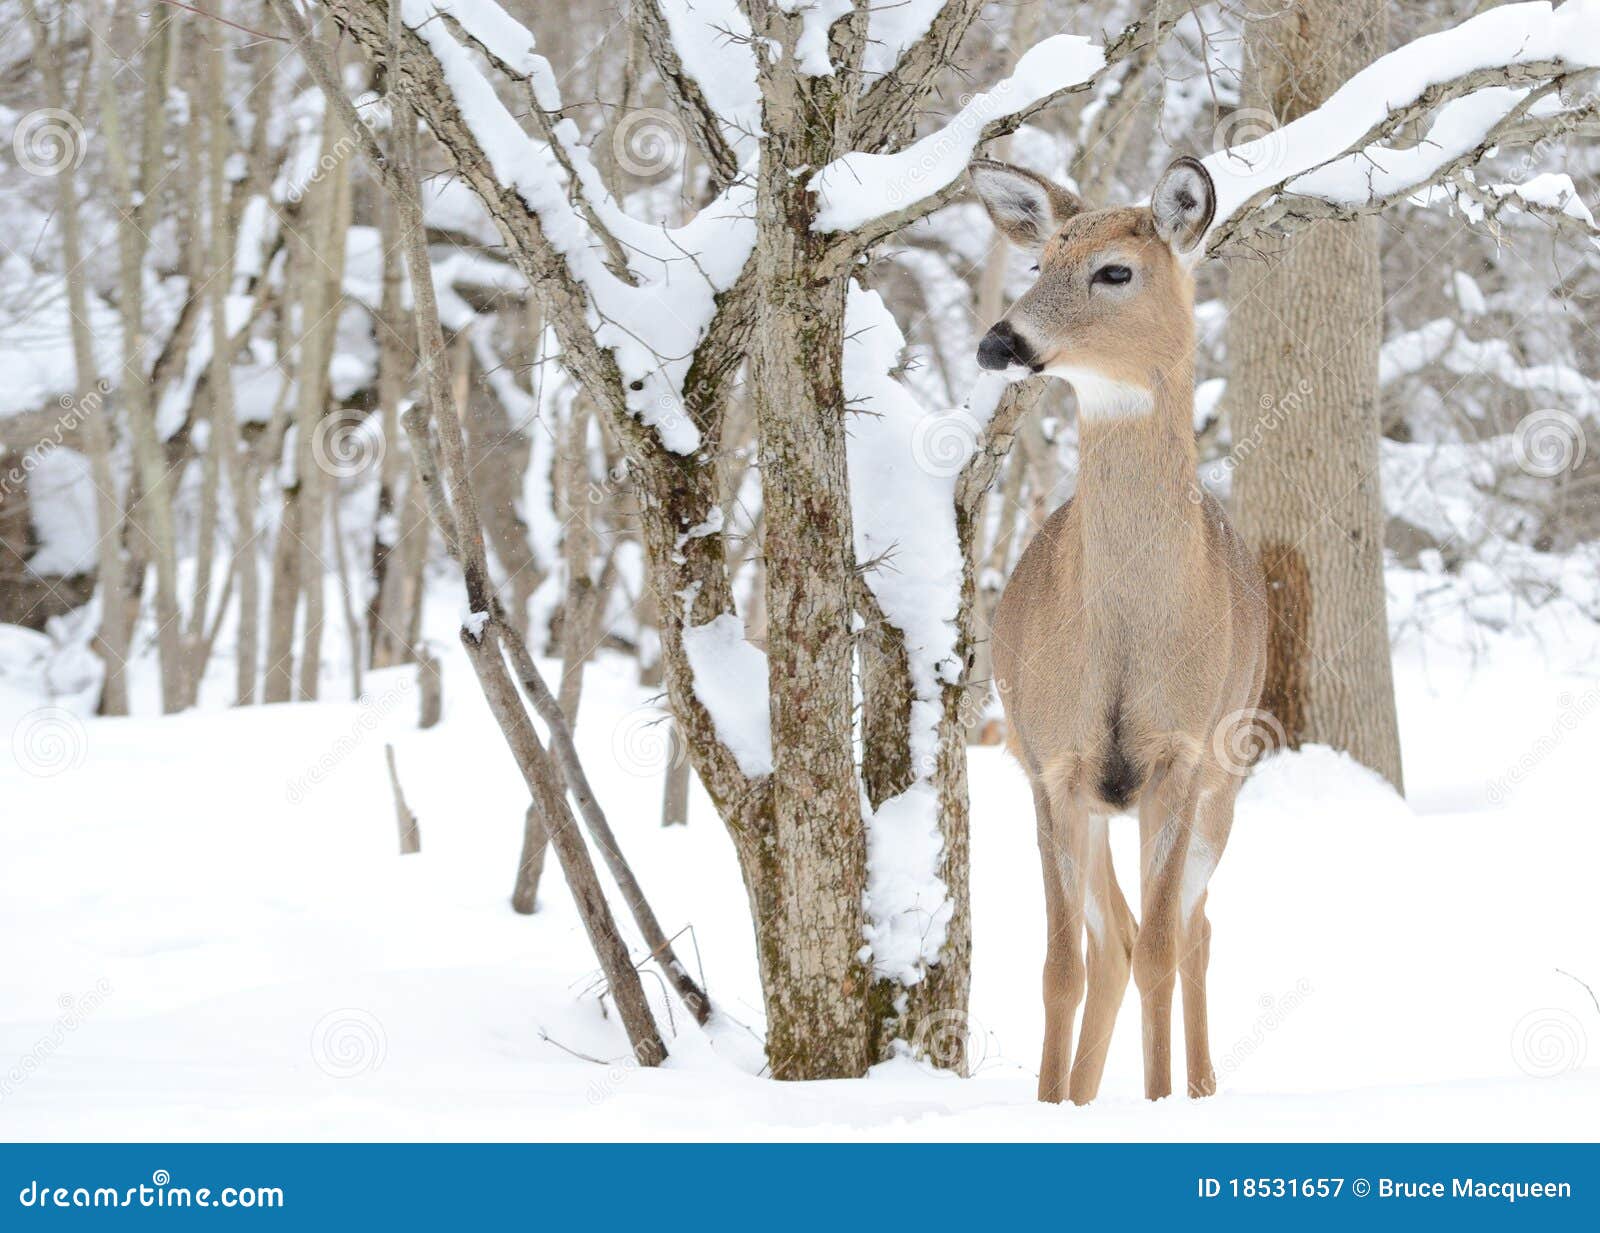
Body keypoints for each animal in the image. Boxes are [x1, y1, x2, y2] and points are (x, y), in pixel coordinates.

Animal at [968, 154, 1268, 1104]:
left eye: (1114, 271)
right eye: (1039, 261)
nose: (999, 343)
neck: (1128, 637)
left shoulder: (1181, 752)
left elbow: (1164, 951)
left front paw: (1161, 1099)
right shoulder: (1050, 760)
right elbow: (1061, 965)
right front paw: (1051, 1104)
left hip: (1226, 776)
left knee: (1188, 931)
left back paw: (1200, 1088)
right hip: (1087, 791)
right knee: (1115, 940)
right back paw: (1084, 1090)